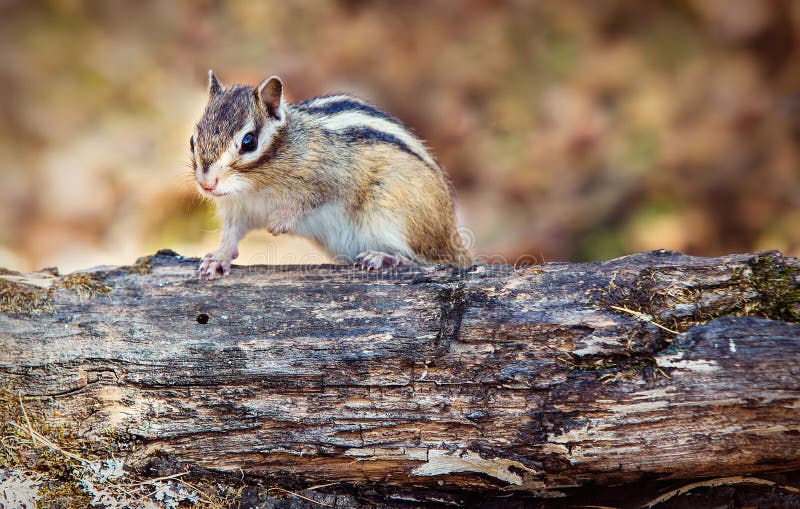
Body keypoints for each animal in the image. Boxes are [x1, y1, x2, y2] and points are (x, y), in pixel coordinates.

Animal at [191, 70, 471, 279]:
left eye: (249, 142)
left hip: (396, 214)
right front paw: (218, 258)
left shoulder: (332, 177)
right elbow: (231, 233)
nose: (207, 184)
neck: (253, 186)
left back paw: (385, 256)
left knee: (423, 259)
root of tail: (453, 241)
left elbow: (310, 199)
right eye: (193, 139)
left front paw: (279, 222)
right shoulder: (237, 209)